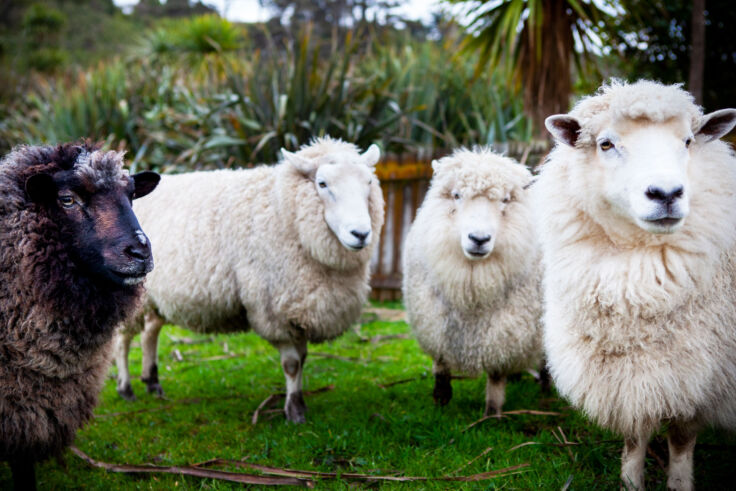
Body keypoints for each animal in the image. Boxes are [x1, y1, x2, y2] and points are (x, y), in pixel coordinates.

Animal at [114, 136, 384, 423]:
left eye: (369, 181)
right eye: (322, 183)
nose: (360, 234)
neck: (282, 211)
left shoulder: (297, 305)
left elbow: (303, 358)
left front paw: (298, 400)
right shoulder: (273, 308)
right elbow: (292, 363)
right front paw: (294, 410)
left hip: (154, 297)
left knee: (150, 331)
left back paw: (152, 381)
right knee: (122, 339)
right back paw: (126, 387)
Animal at [402, 148, 545, 417]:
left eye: (505, 200)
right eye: (456, 195)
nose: (479, 239)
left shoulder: (505, 327)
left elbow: (497, 374)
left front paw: (492, 413)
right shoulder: (434, 317)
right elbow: (441, 360)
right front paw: (440, 399)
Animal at [537, 79, 736, 490]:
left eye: (688, 141)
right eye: (605, 144)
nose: (666, 194)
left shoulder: (697, 375)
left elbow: (680, 439)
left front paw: (679, 484)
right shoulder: (631, 376)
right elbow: (634, 435)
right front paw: (631, 482)